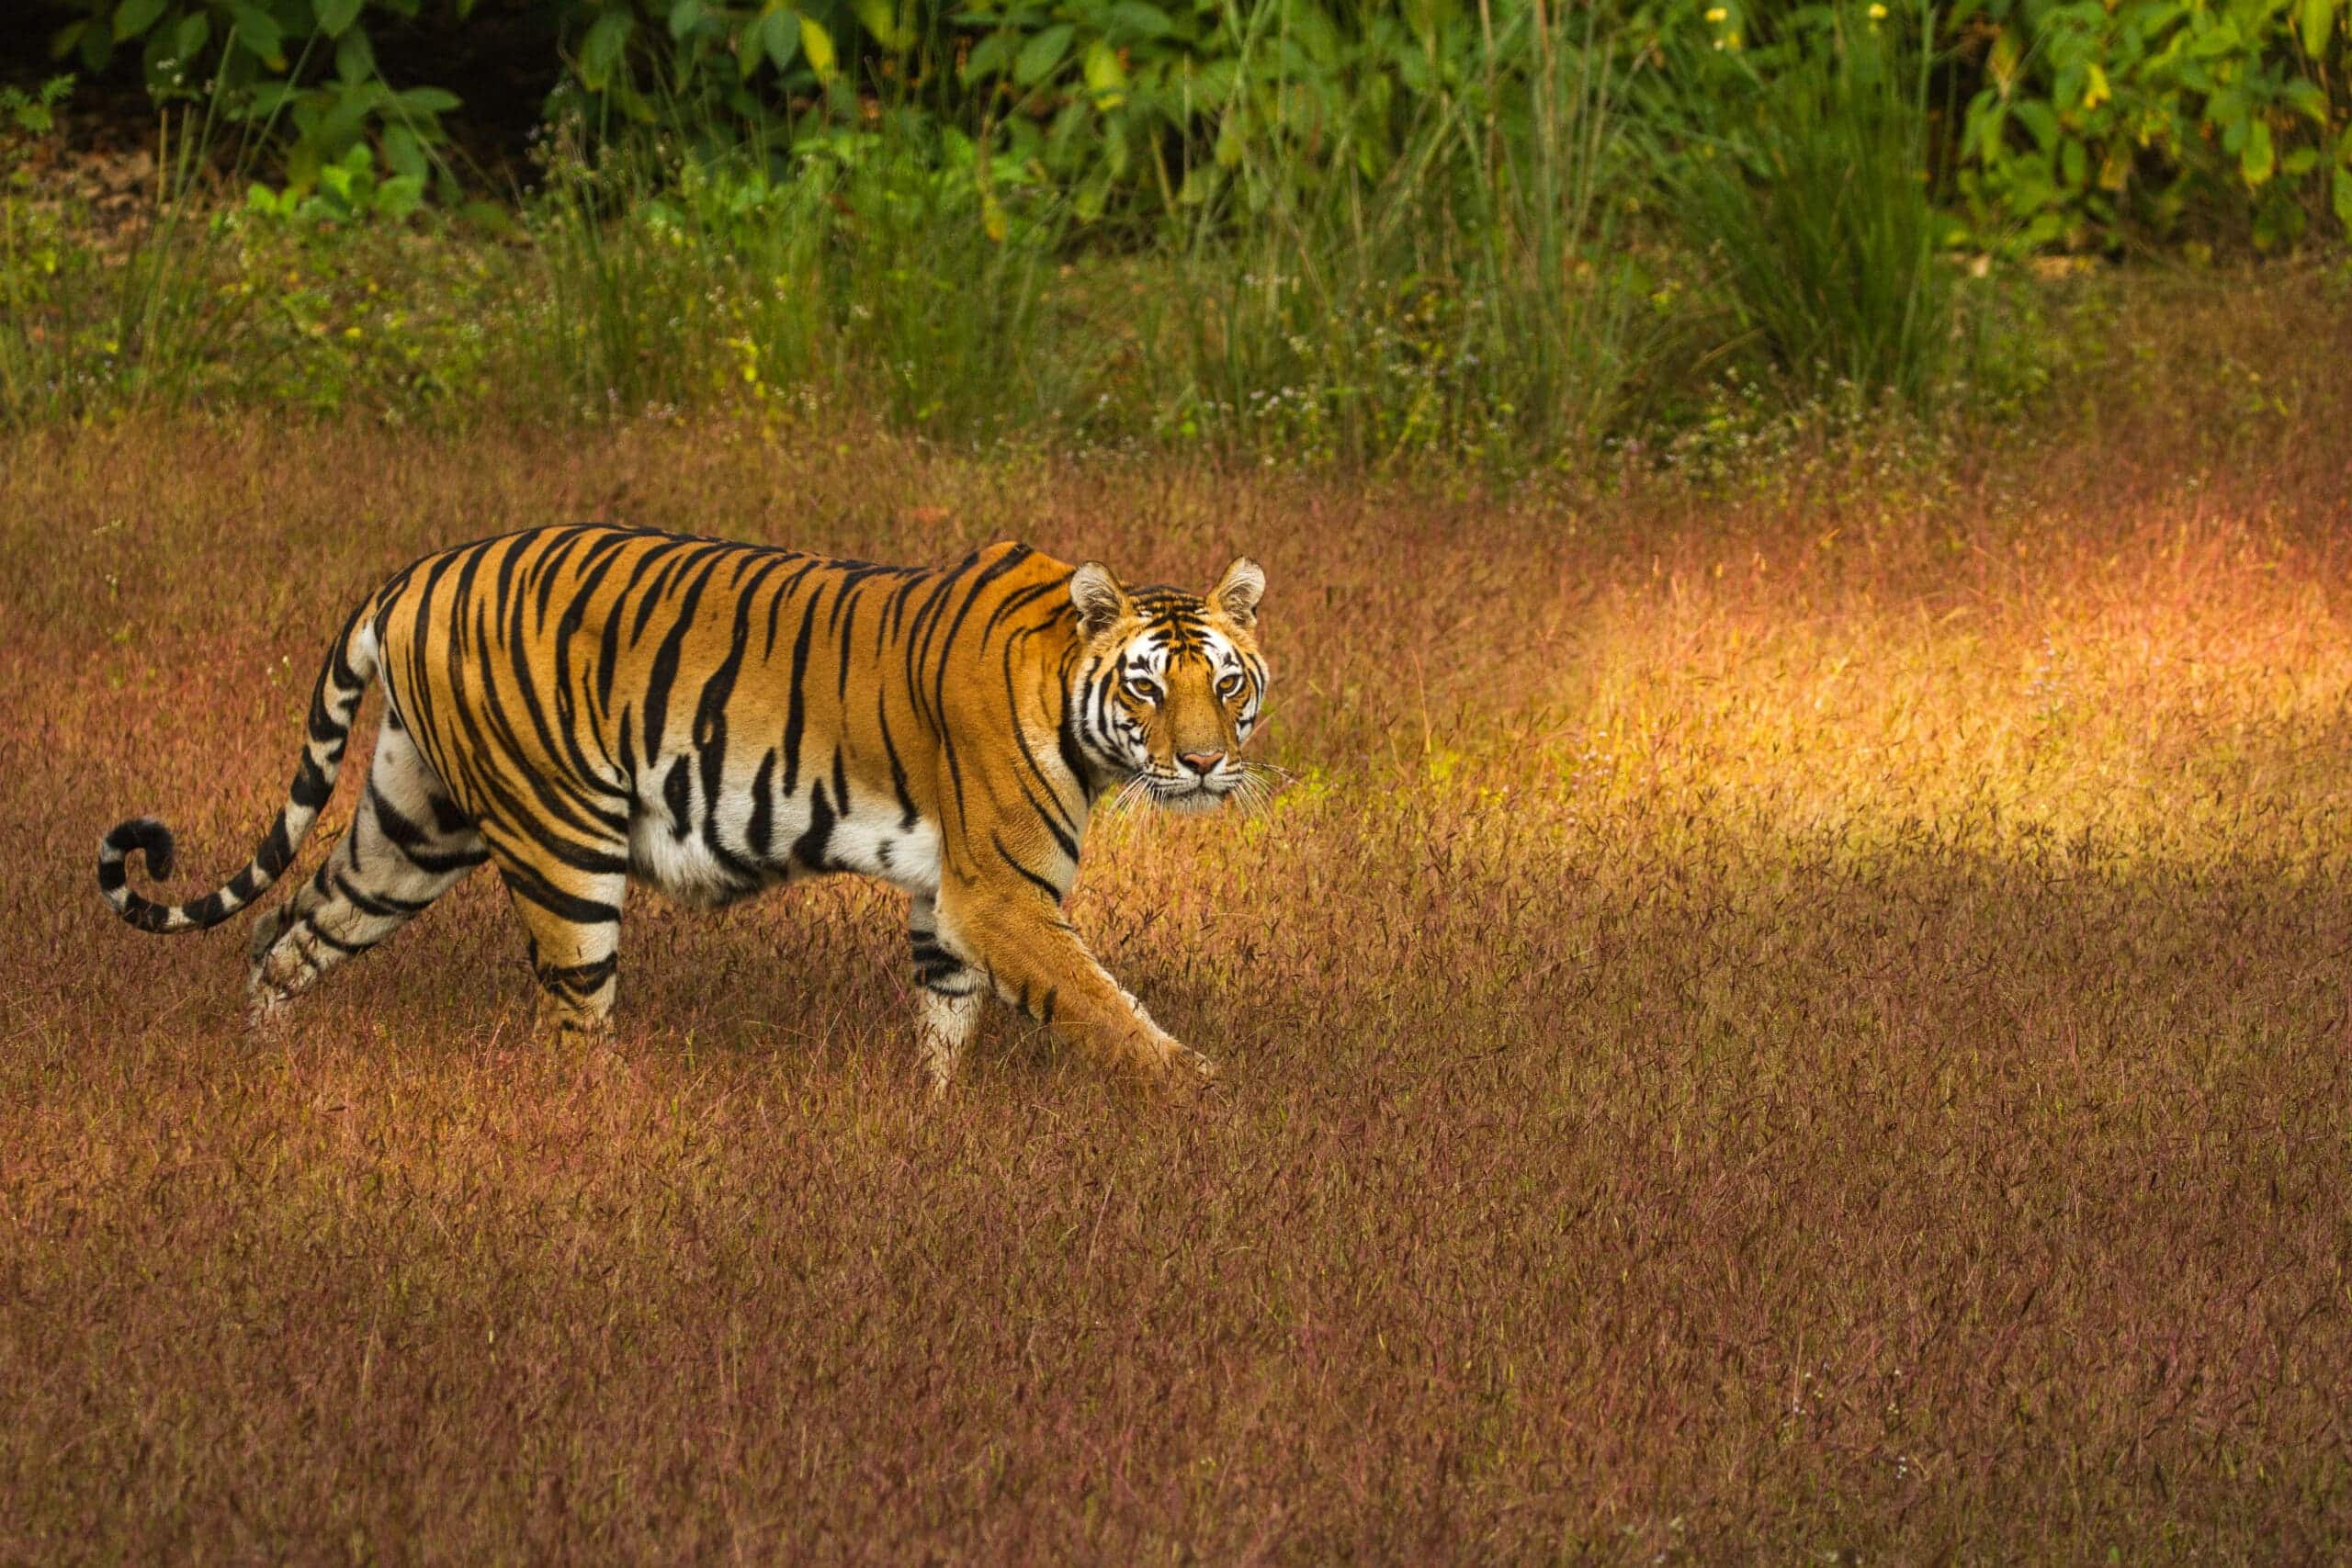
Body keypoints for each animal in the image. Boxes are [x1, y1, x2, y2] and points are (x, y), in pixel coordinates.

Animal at [96, 525, 1272, 1093]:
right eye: (1145, 688)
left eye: (1225, 683)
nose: (1206, 764)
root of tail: (414, 573)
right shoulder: (1000, 896)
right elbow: (1109, 1013)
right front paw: (1206, 1107)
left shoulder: (948, 902)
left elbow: (947, 1021)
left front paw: (930, 1128)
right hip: (561, 843)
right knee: (574, 1026)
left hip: (411, 828)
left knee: (281, 933)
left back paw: (268, 1074)